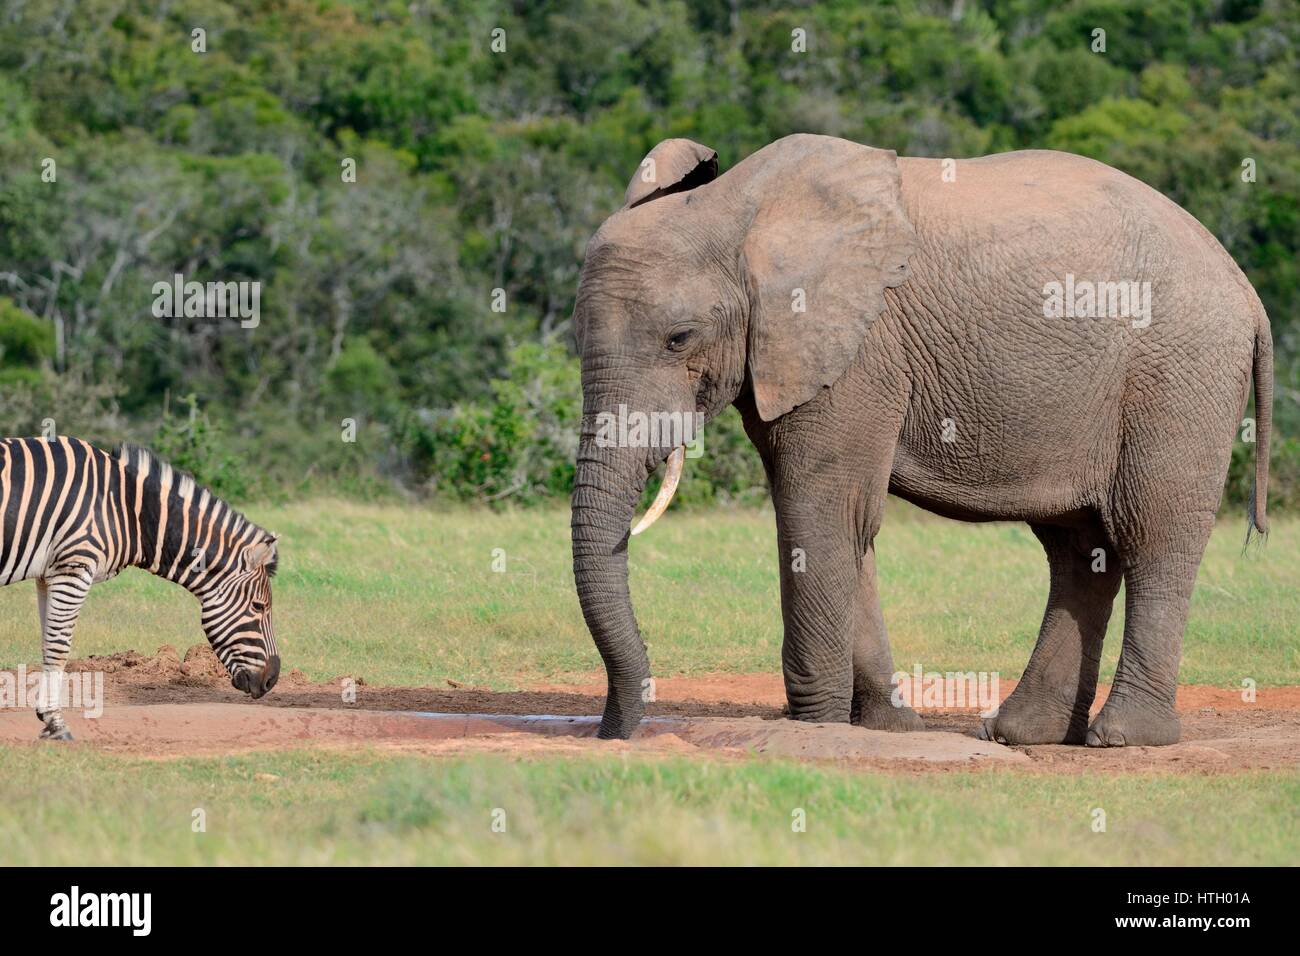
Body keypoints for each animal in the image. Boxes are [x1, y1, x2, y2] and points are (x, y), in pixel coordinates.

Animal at [0, 437, 280, 739]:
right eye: (258, 606)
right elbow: (58, 647)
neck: (126, 510)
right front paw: (56, 723)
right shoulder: (74, 567)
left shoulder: (49, 573)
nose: (272, 679)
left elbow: (47, 643)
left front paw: (46, 717)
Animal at [570, 133, 1272, 748]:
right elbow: (848, 523)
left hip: (1180, 378)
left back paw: (1121, 738)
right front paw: (887, 728)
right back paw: (1021, 734)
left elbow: (821, 511)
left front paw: (815, 727)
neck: (737, 214)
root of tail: (1246, 287)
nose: (611, 733)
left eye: (679, 339)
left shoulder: (859, 351)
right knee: (1079, 549)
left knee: (1154, 536)